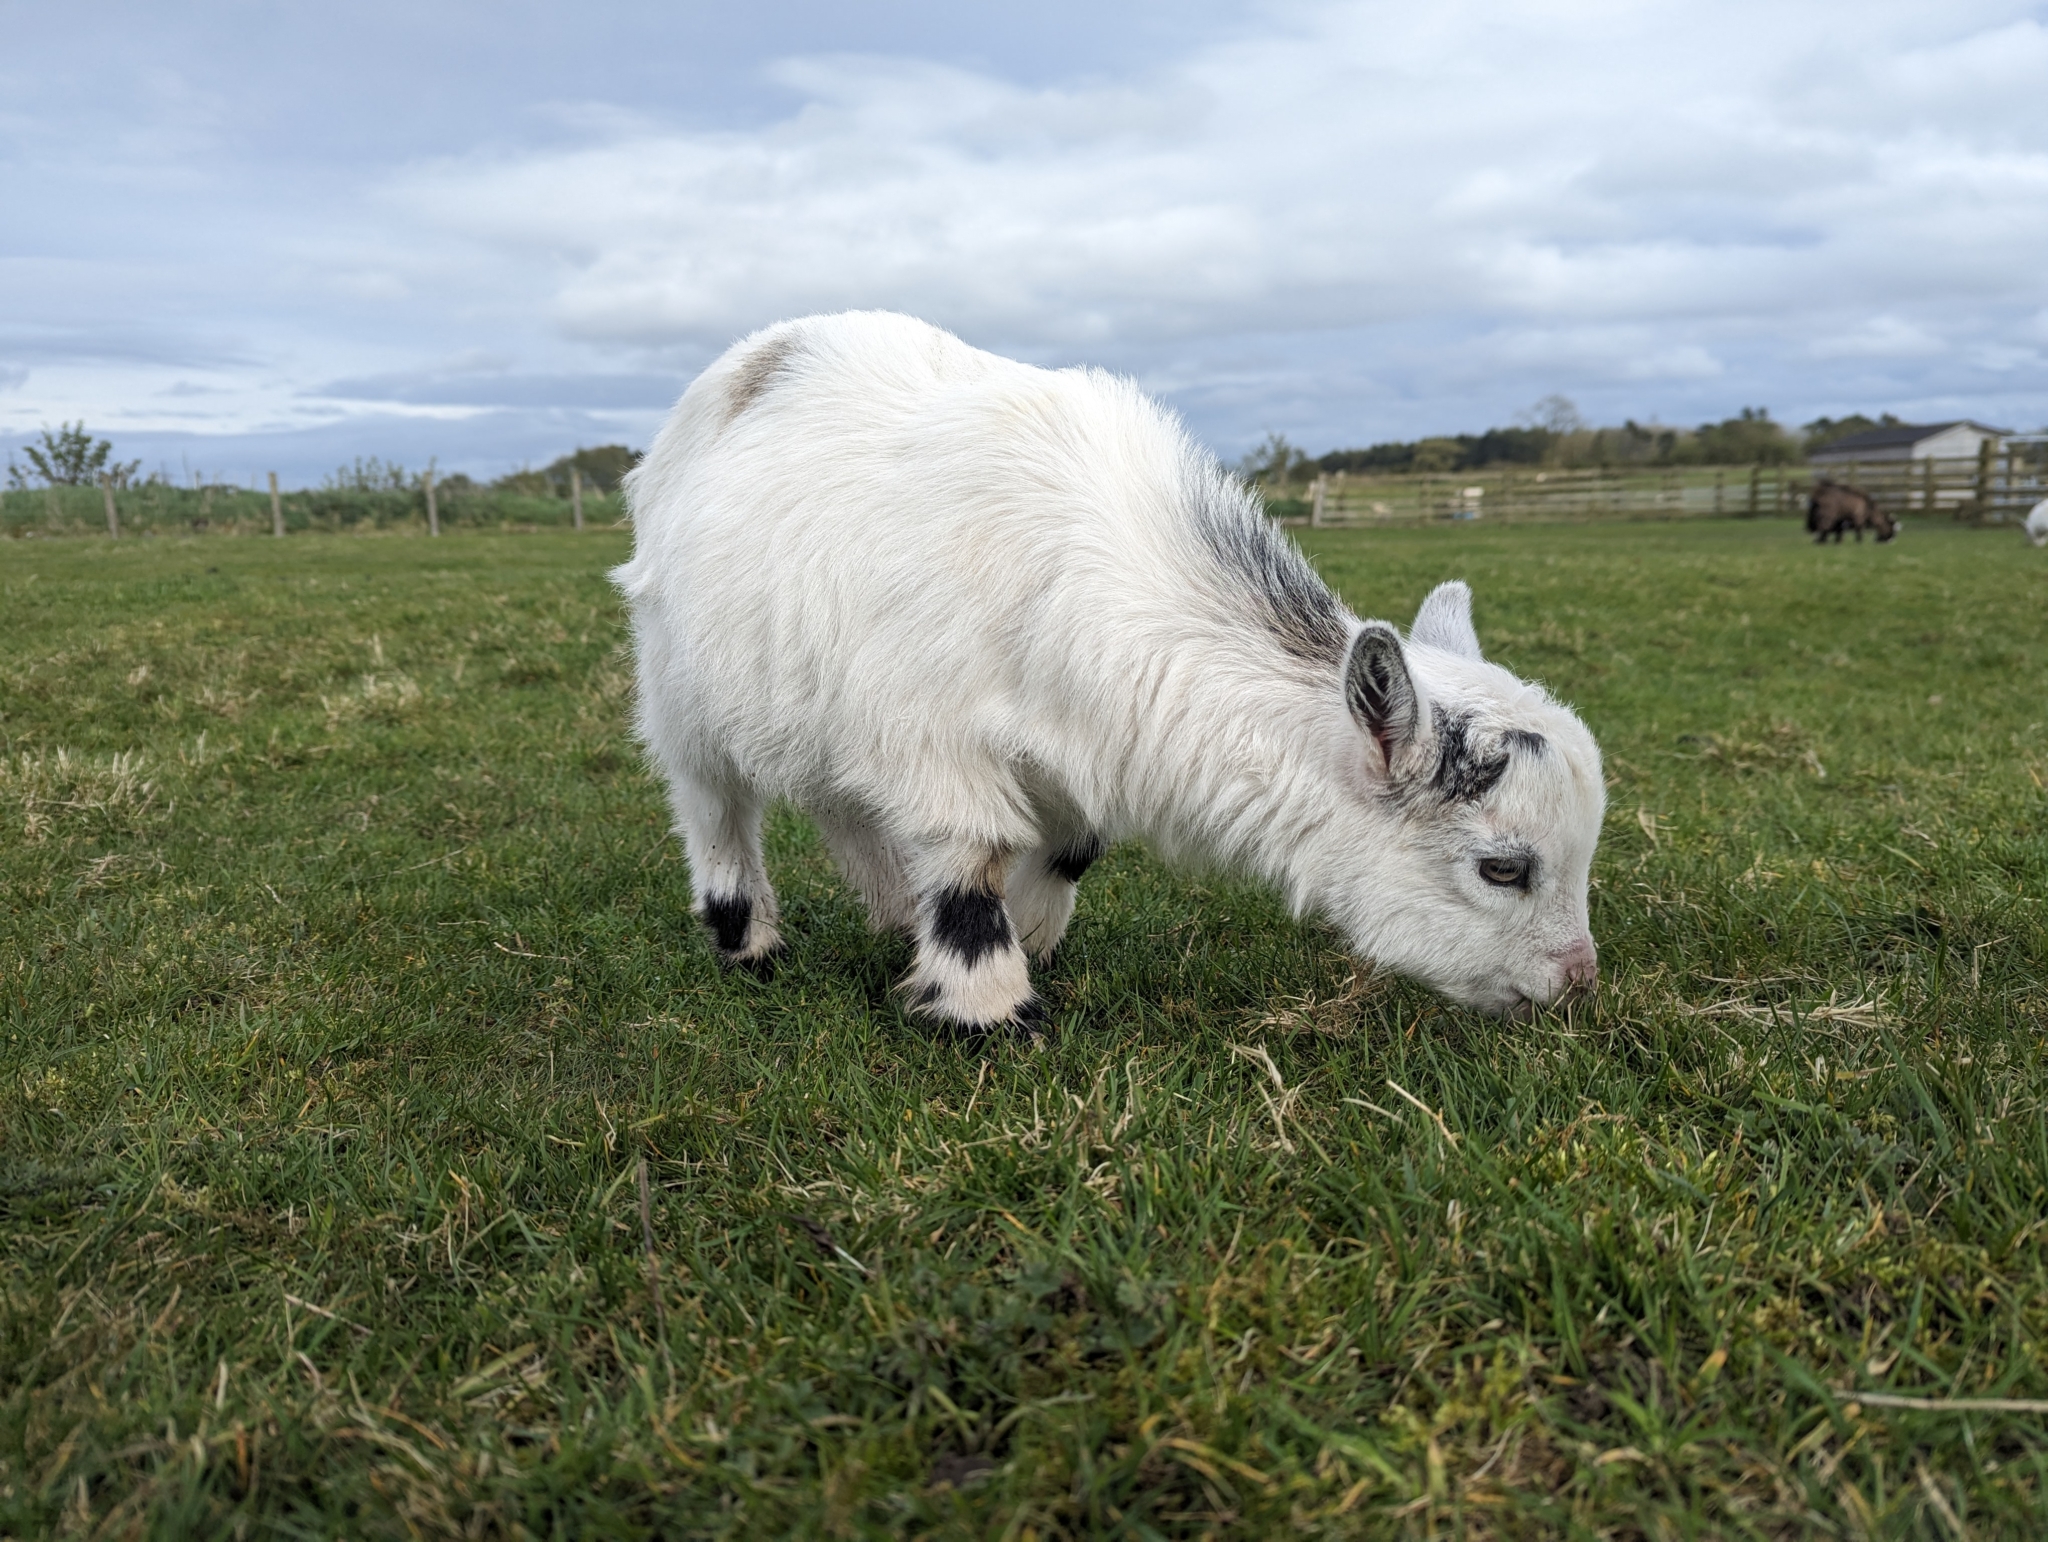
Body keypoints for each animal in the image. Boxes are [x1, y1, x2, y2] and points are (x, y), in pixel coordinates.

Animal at [614, 313, 1606, 1032]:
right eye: (1503, 869)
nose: (1577, 983)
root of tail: (758, 354)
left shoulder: (1073, 741)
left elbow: (1074, 842)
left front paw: (1032, 938)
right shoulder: (931, 736)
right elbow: (972, 856)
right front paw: (987, 1011)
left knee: (838, 800)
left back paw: (894, 916)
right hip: (677, 680)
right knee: (712, 798)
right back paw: (749, 940)